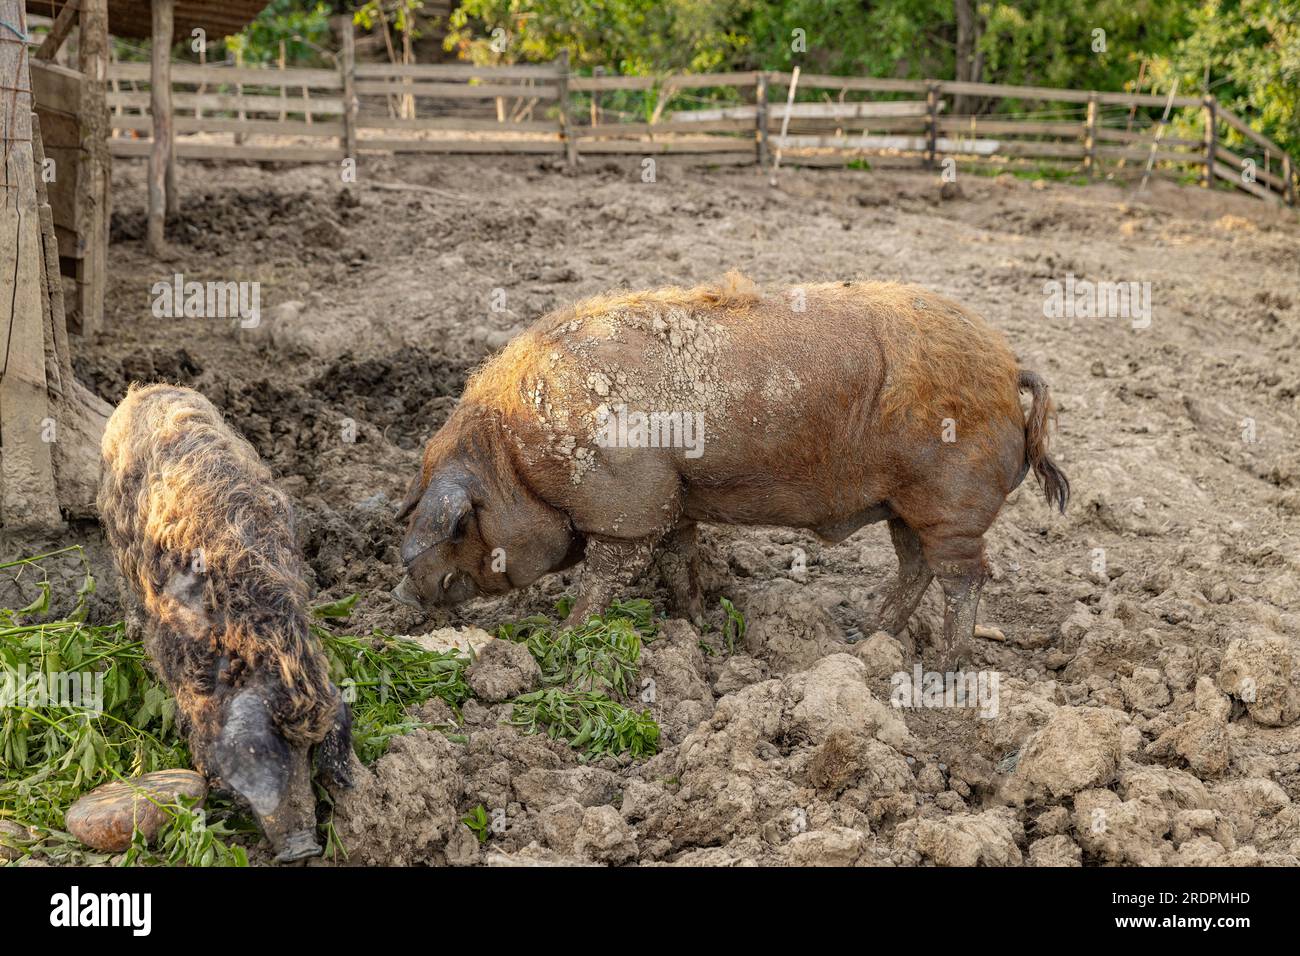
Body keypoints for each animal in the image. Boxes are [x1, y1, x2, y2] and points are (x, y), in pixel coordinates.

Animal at [395, 275, 1068, 667]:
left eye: (459, 527)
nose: (404, 590)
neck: (516, 454)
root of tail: (1010, 366)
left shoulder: (628, 503)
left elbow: (606, 574)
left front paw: (561, 640)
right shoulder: (673, 501)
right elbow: (678, 557)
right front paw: (694, 623)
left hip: (952, 498)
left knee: (963, 575)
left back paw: (942, 666)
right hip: (907, 504)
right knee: (916, 566)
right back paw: (866, 640)